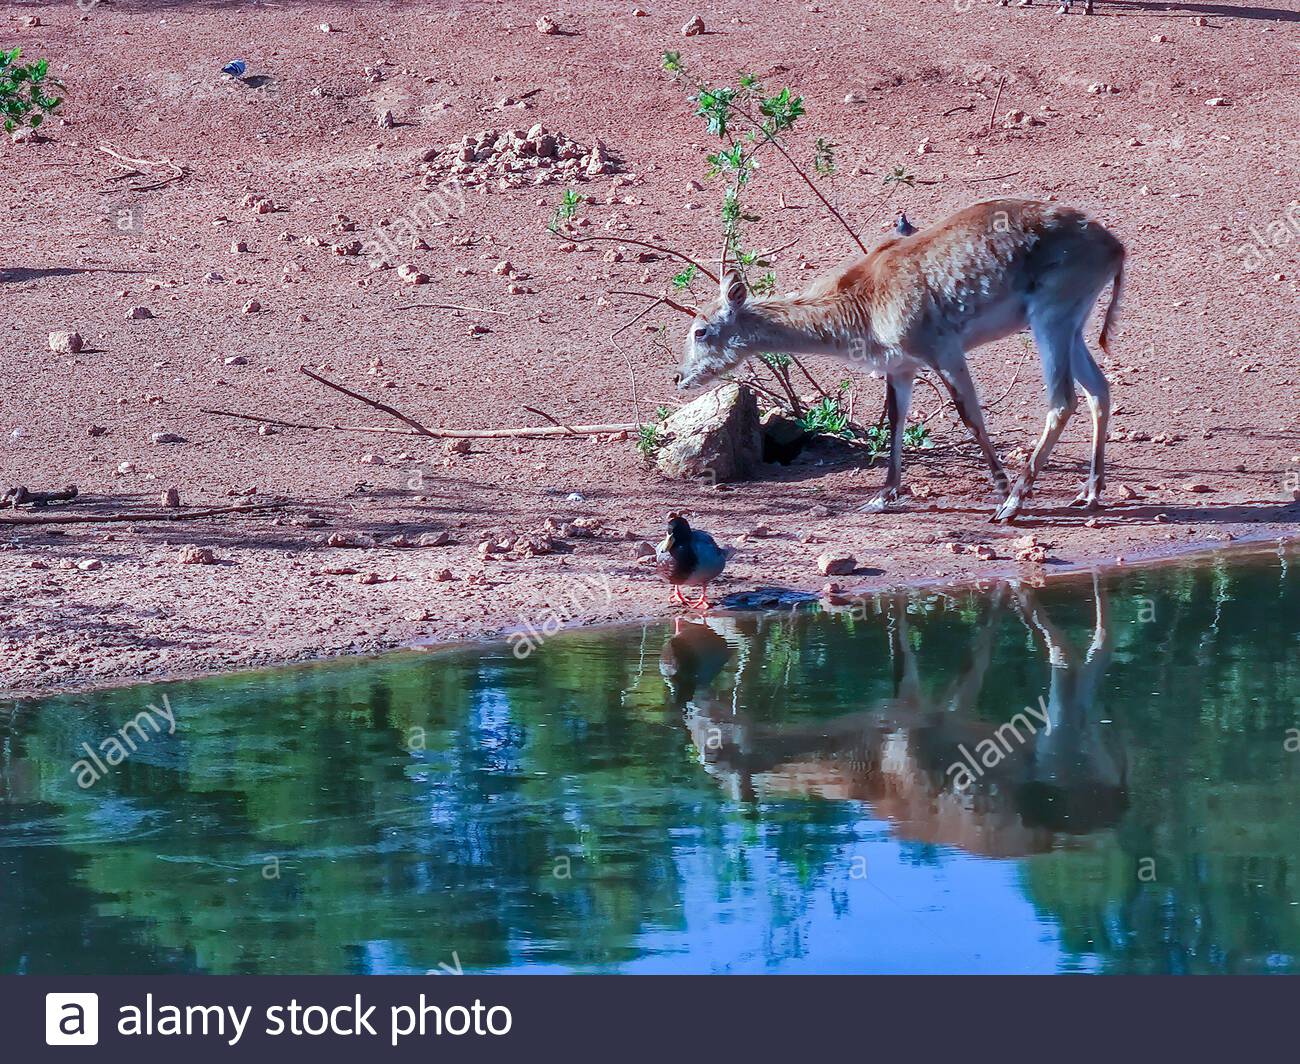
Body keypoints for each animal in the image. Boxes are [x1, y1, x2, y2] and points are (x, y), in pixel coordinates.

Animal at [675, 198, 1125, 523]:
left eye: (700, 331)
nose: (680, 378)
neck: (863, 303)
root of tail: (1115, 247)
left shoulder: (943, 349)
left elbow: (970, 416)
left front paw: (999, 491)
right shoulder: (901, 367)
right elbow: (895, 419)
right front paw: (880, 497)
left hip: (1051, 316)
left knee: (1062, 400)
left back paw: (1012, 505)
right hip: (1073, 323)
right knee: (1098, 389)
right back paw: (1088, 494)